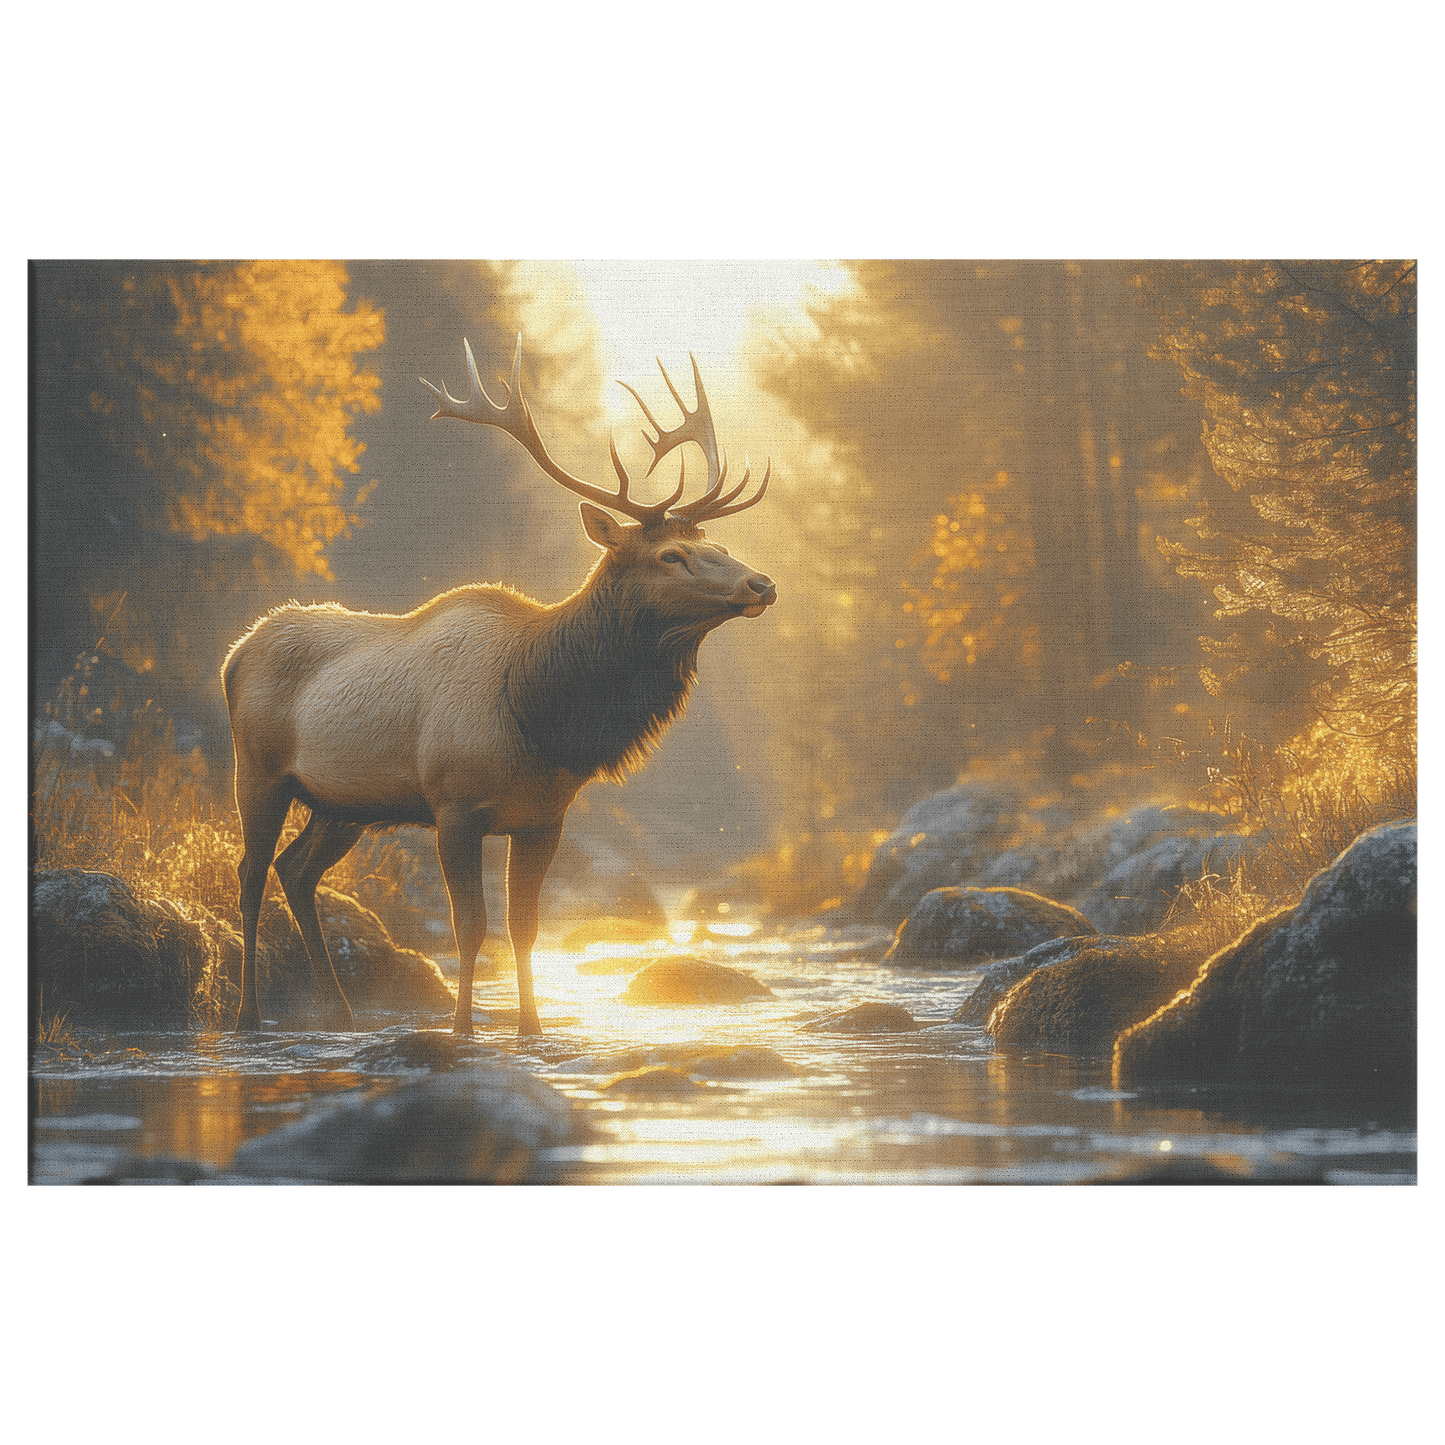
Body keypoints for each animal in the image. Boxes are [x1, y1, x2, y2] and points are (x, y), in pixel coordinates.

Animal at [222, 336, 776, 1038]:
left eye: (717, 545)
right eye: (670, 555)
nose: (762, 583)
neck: (539, 713)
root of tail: (235, 652)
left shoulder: (544, 817)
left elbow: (524, 927)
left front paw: (531, 1030)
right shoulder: (453, 805)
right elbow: (470, 927)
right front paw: (462, 1029)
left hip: (342, 802)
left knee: (296, 871)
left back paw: (341, 1012)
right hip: (259, 771)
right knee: (250, 873)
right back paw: (248, 1014)